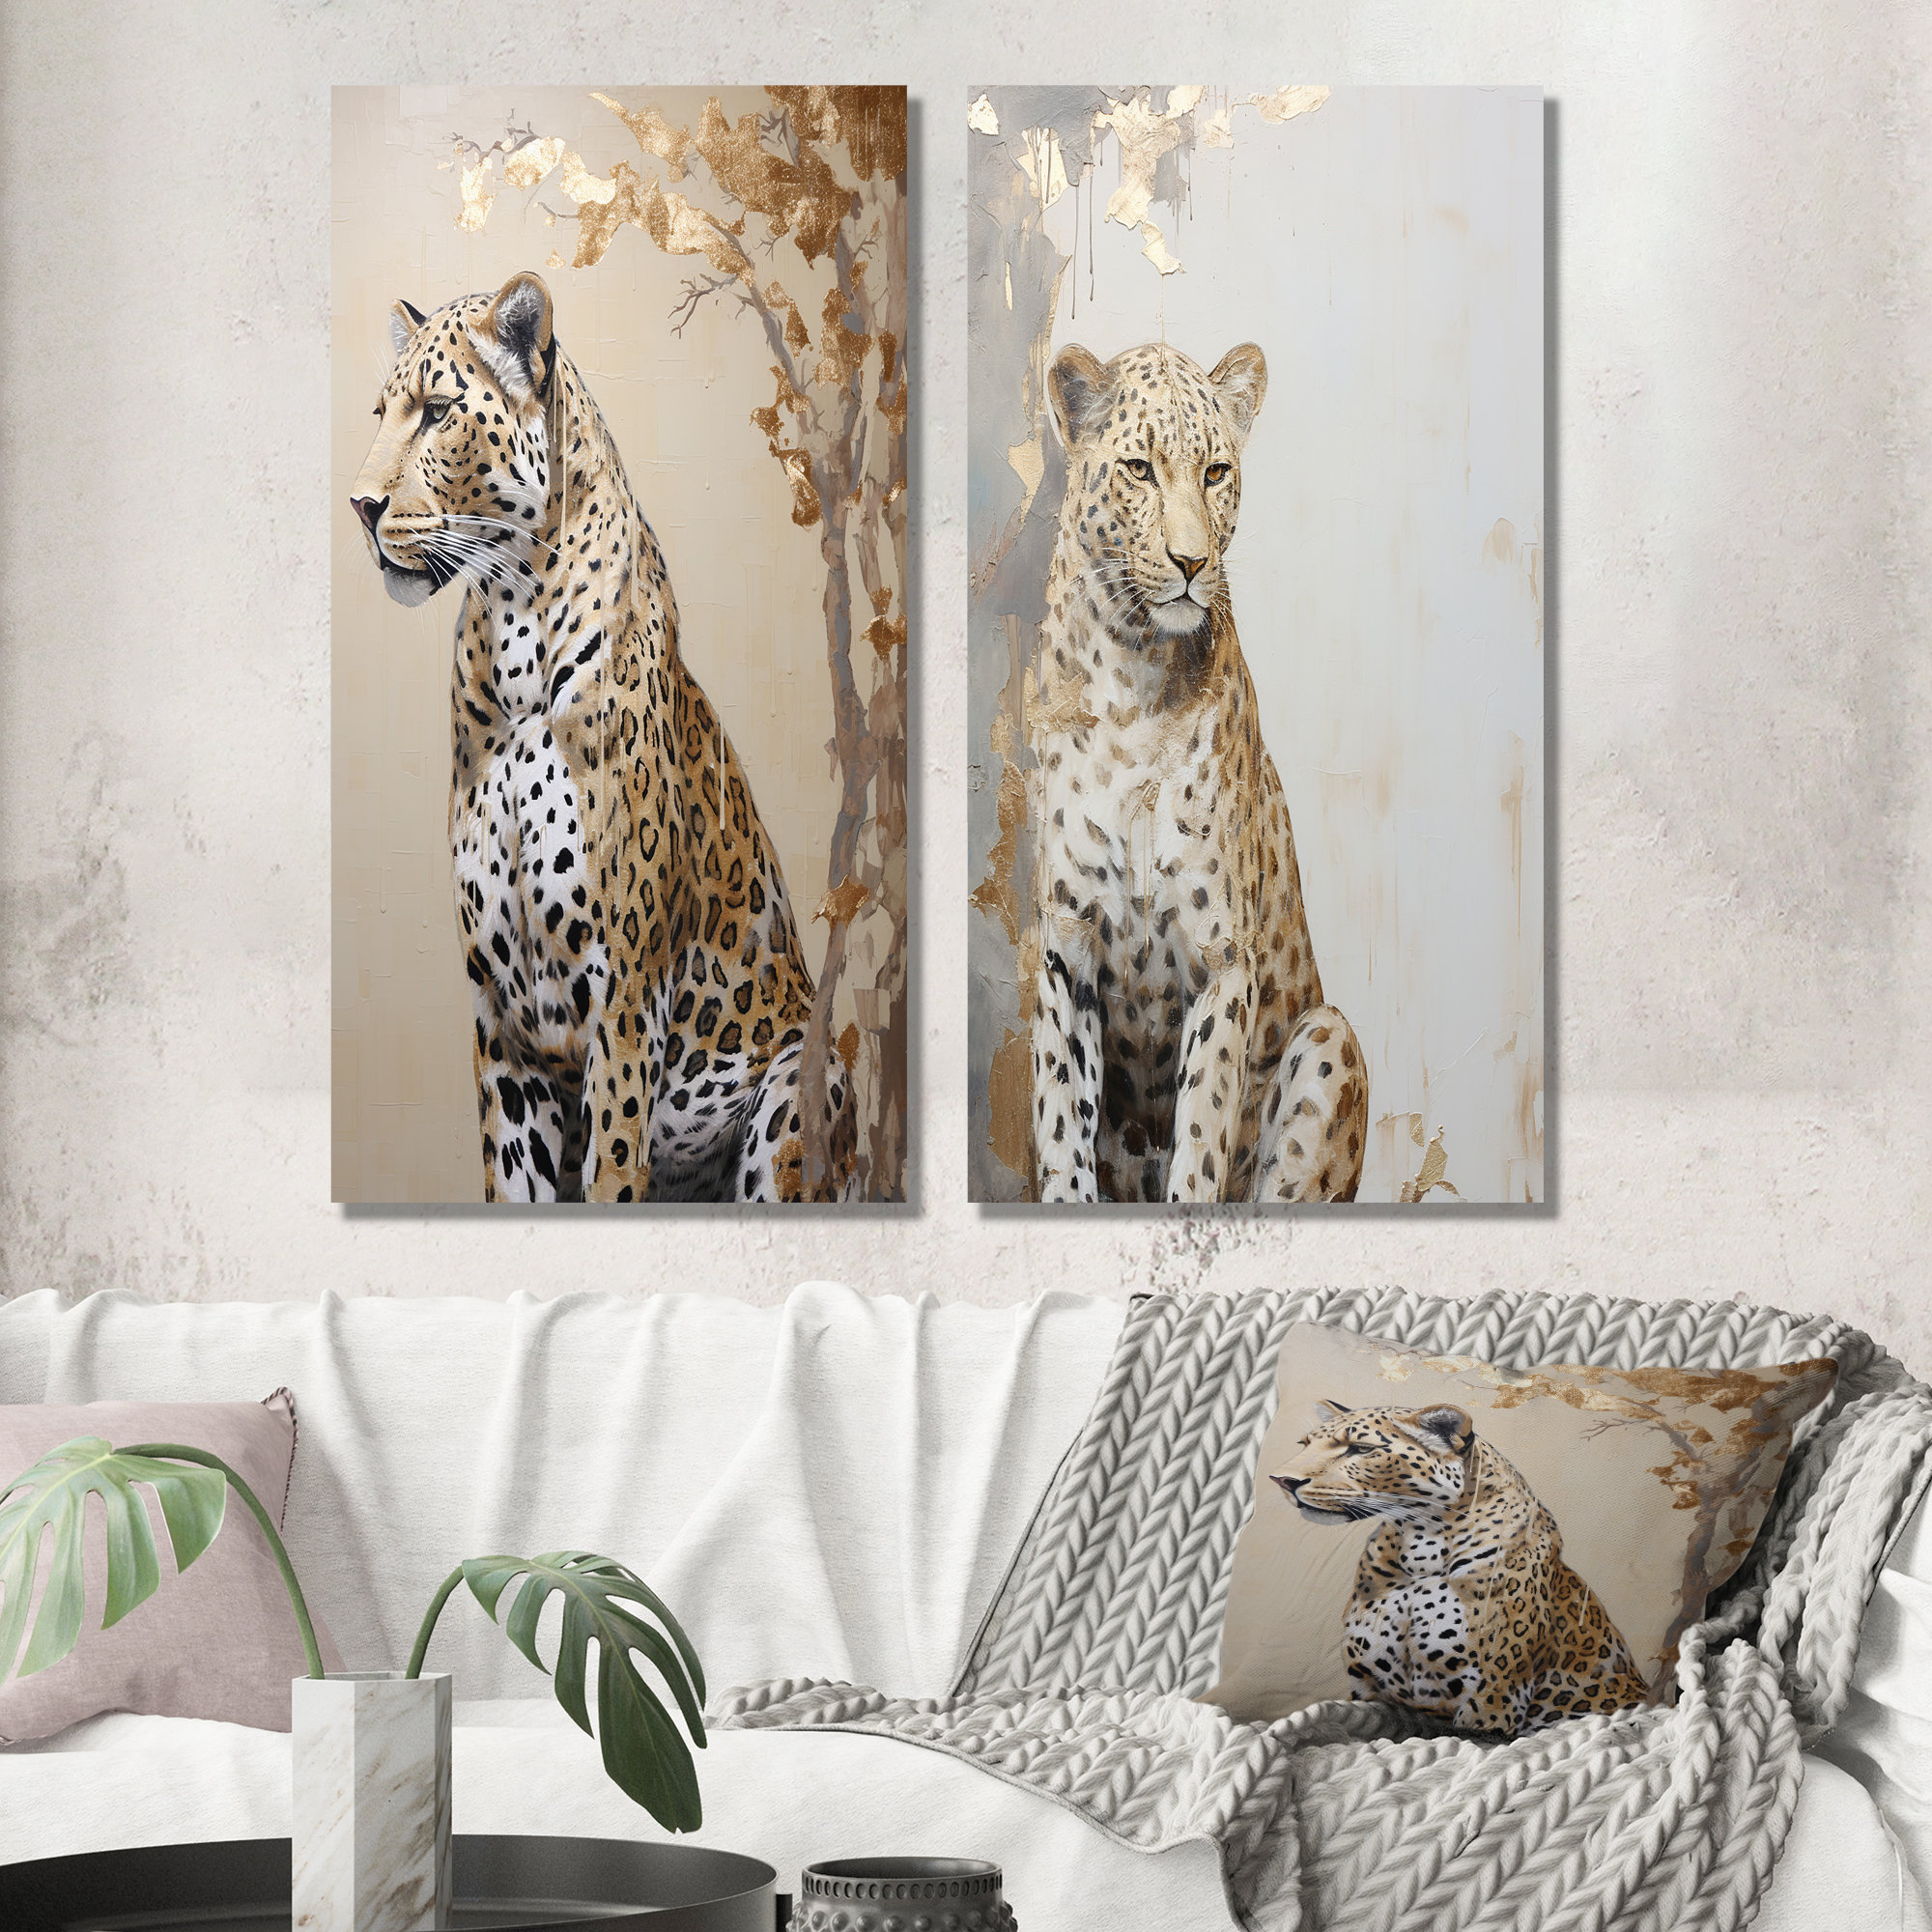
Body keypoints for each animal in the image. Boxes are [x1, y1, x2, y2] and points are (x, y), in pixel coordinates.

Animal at [349, 270, 852, 1203]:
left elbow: (614, 1169)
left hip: (802, 1082)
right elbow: (513, 1181)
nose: (361, 509)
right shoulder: (499, 1023)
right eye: (381, 414)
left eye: (435, 413)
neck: (512, 625)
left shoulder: (622, 998)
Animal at [1027, 338, 1366, 1203]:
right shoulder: (1066, 947)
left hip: (1330, 1035)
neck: (1136, 682)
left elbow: (1203, 1130)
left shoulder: (1223, 958)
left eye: (1215, 472)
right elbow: (1060, 1116)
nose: (1190, 560)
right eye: (1140, 468)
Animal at [1271, 1399, 1653, 1734]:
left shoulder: (1494, 1695)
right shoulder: (1367, 1685)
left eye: (1361, 1449)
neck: (1420, 1548)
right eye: (1304, 1444)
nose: (1282, 1480)